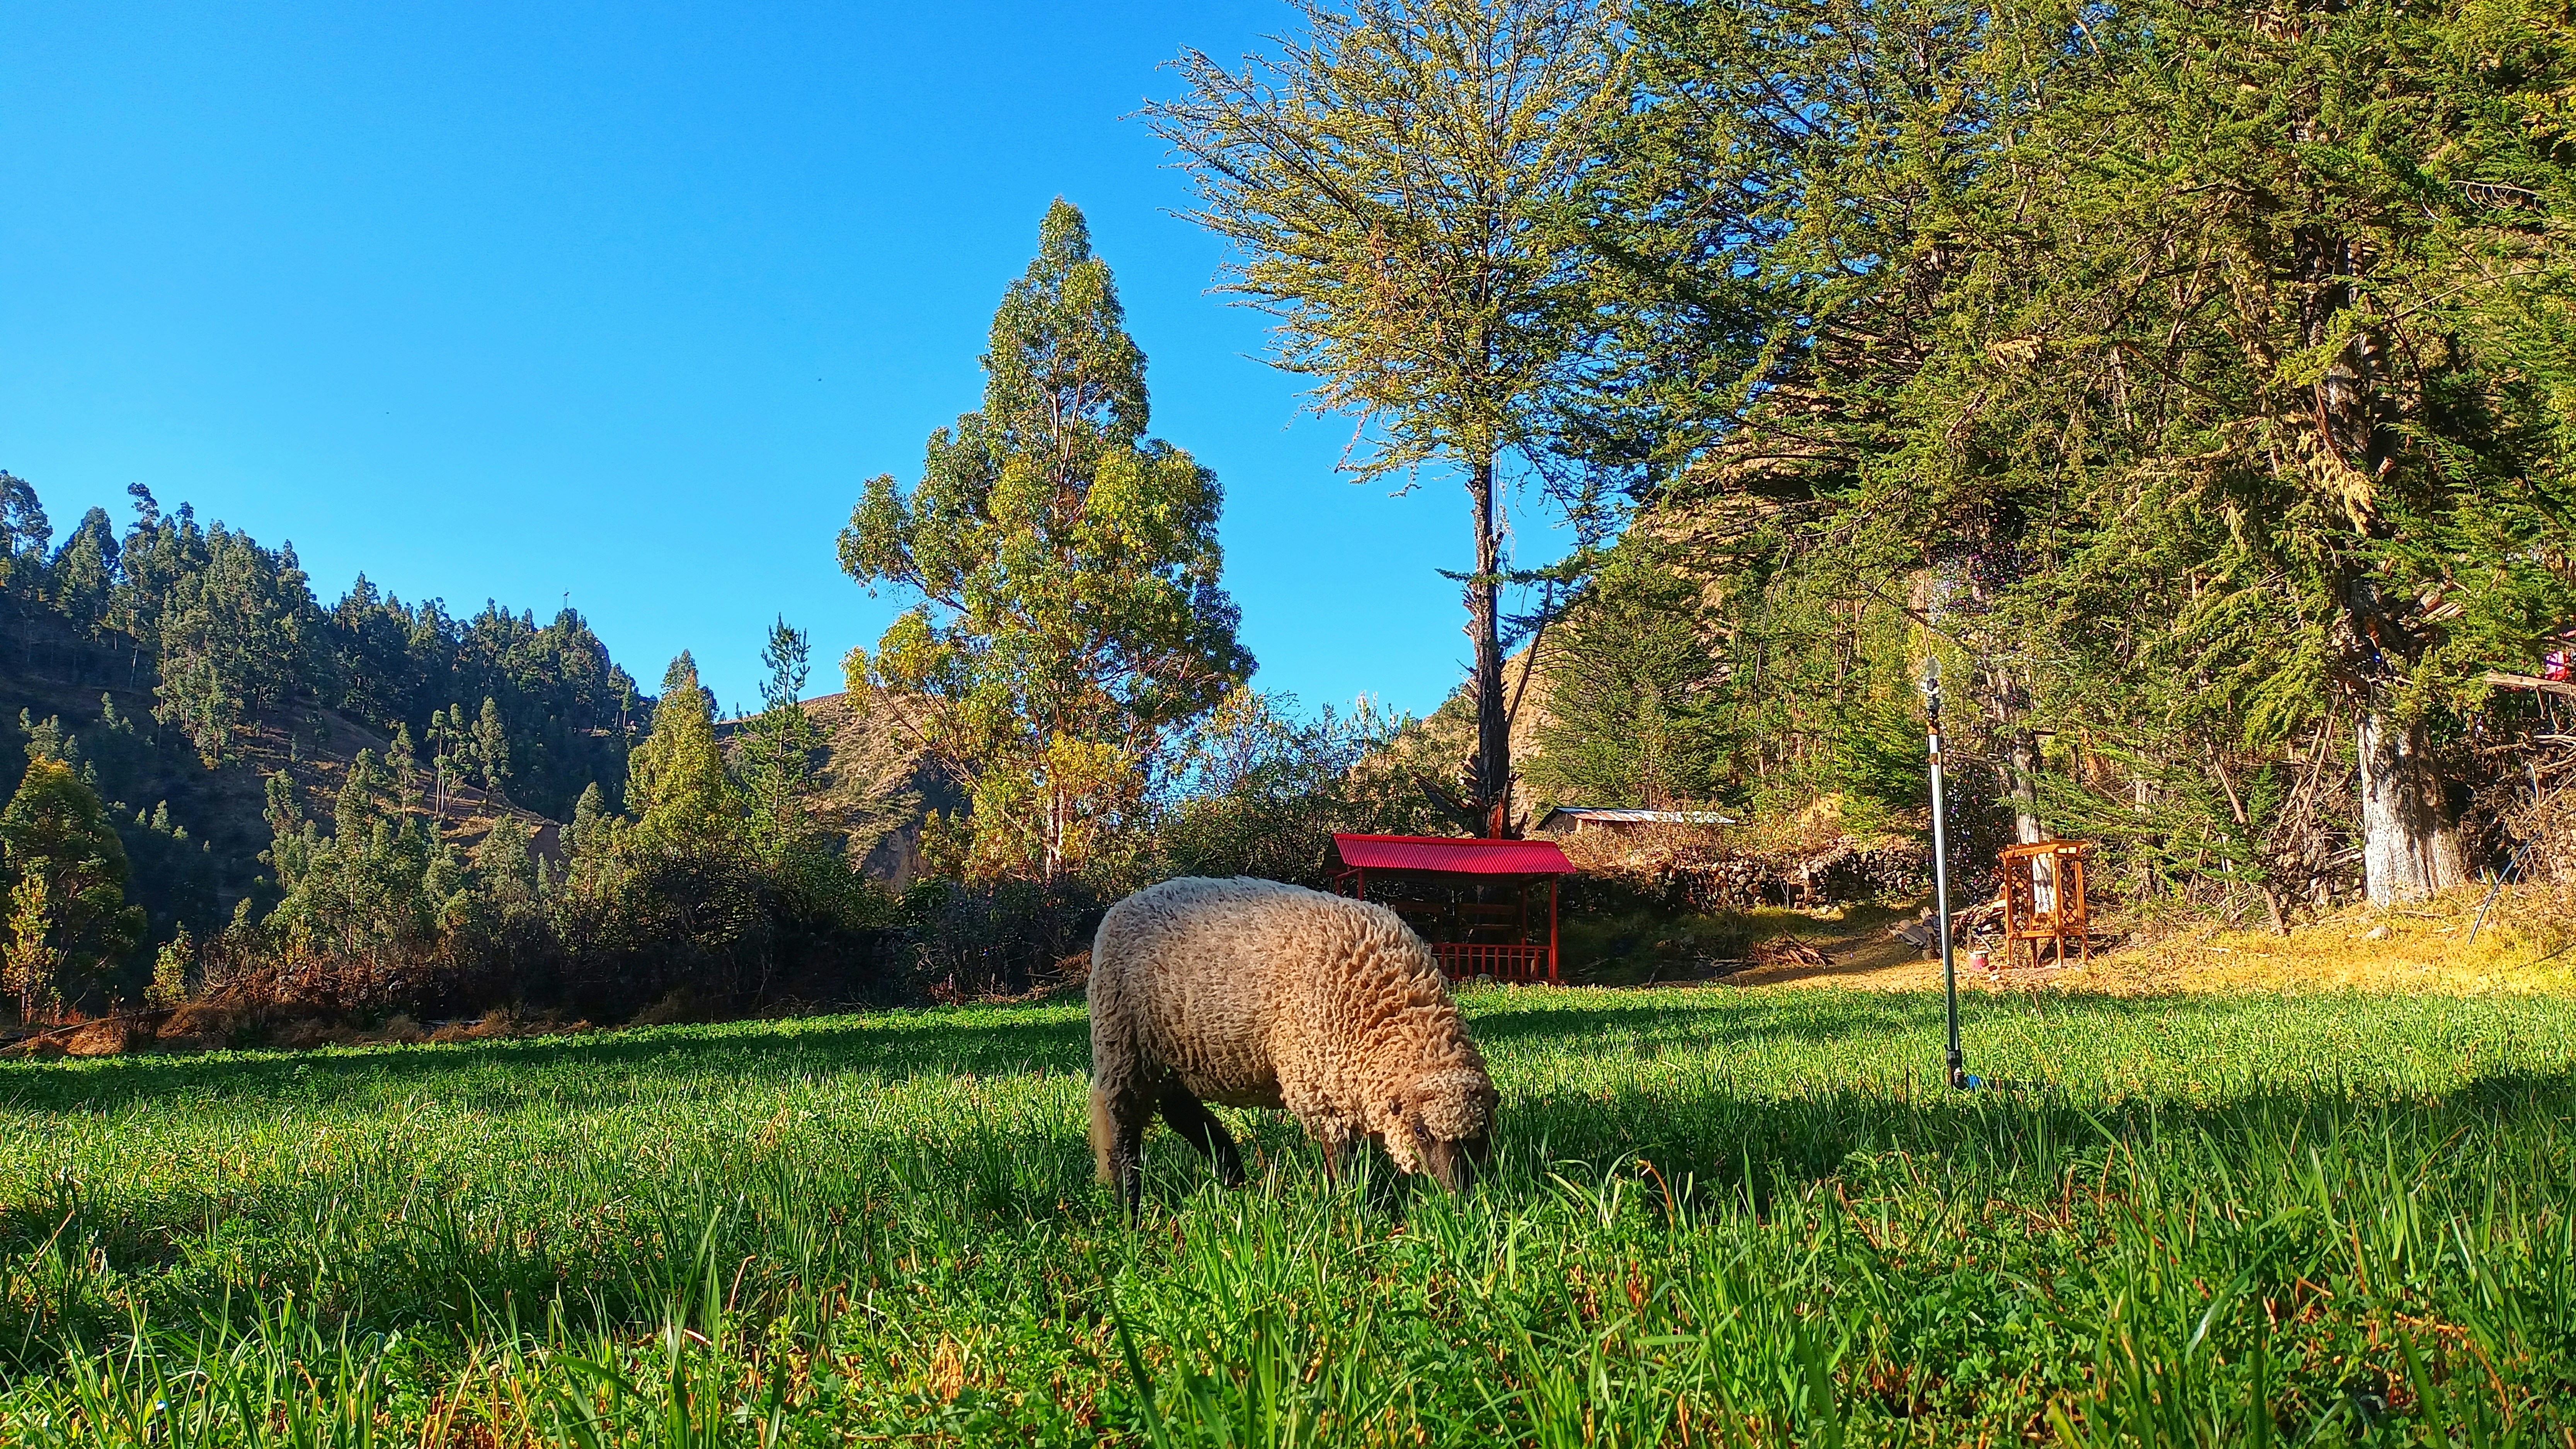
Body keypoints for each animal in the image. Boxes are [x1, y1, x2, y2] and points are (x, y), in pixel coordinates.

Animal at [1087, 875, 1497, 1213]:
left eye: (1480, 1133)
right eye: (1419, 1131)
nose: (1457, 1199)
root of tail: (1120, 907)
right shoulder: (1316, 1085)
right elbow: (1340, 1158)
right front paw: (1349, 1206)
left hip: (1172, 1051)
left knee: (1180, 1110)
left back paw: (1234, 1176)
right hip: (1122, 1045)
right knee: (1126, 1129)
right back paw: (1130, 1209)